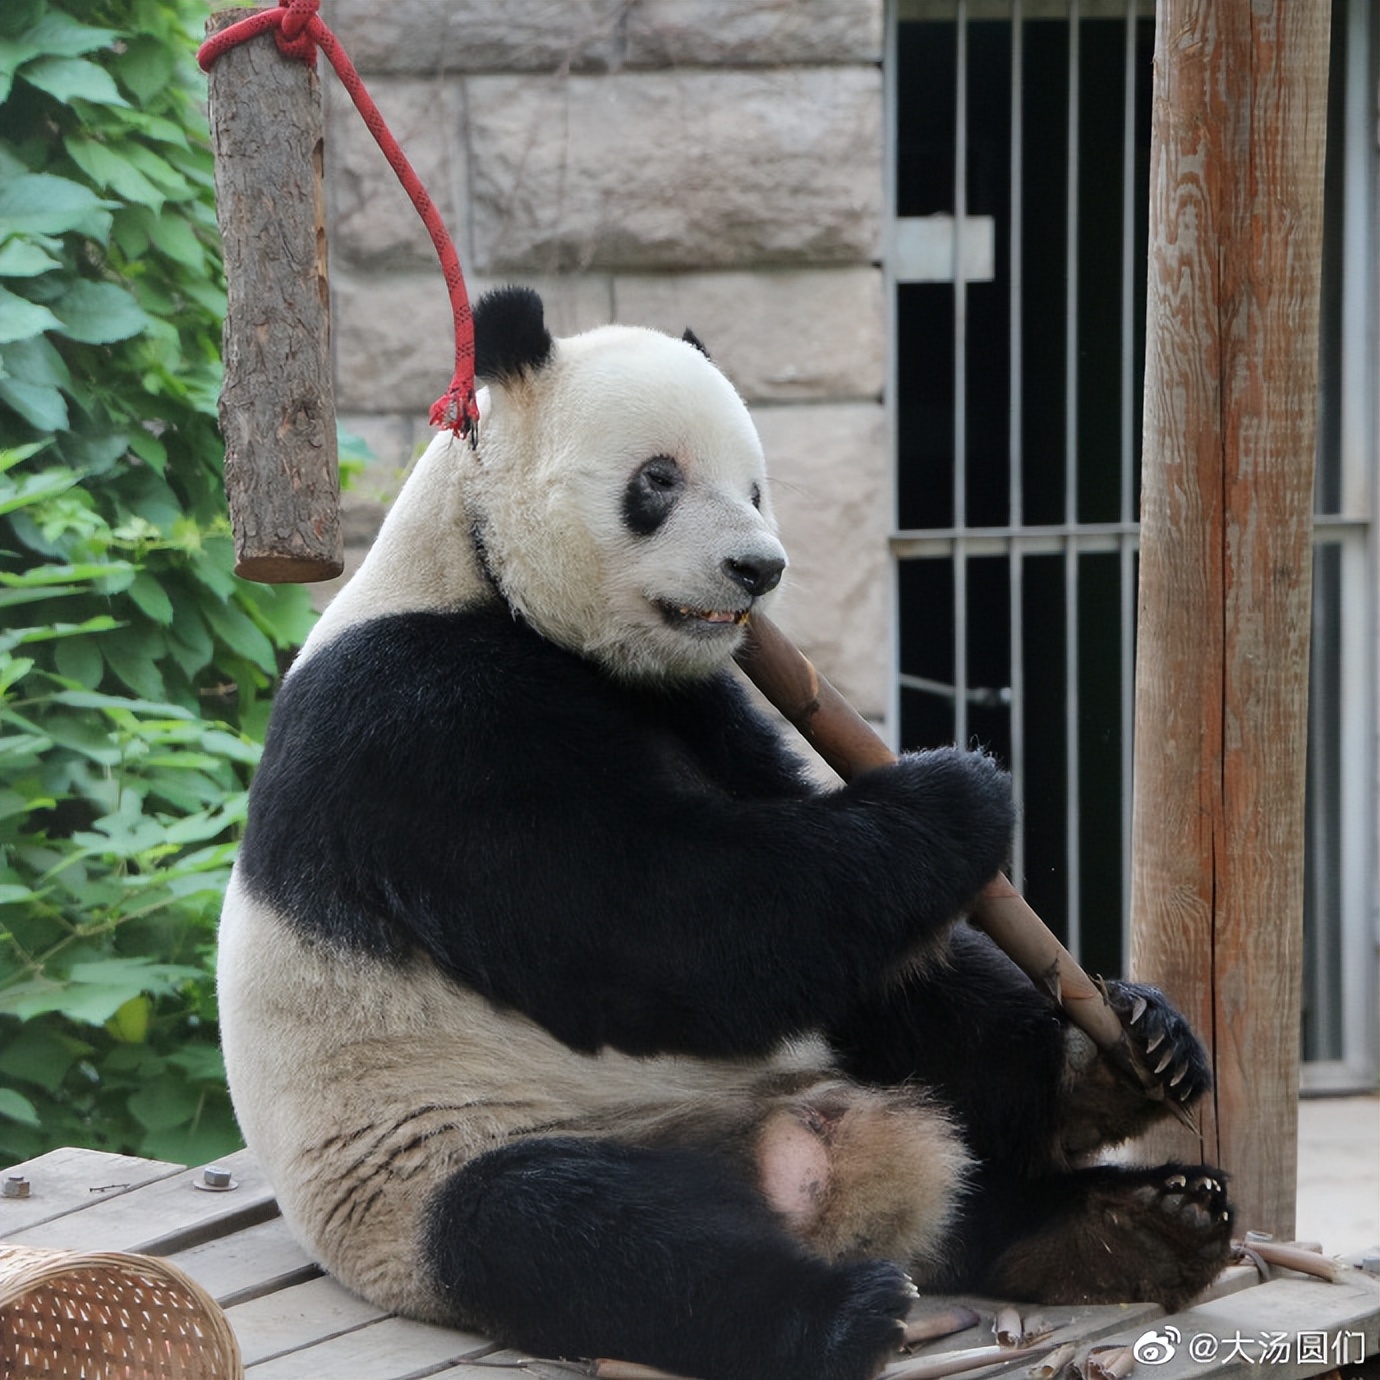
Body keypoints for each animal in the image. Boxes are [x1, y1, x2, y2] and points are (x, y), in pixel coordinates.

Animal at [219, 285, 1233, 1380]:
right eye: (658, 480)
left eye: (755, 484)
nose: (758, 567)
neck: (484, 579)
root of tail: (811, 1164)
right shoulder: (419, 726)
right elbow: (648, 925)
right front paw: (961, 792)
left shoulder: (697, 702)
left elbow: (797, 878)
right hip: (432, 1159)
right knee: (582, 1235)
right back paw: (850, 1312)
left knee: (906, 1001)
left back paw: (1124, 1143)